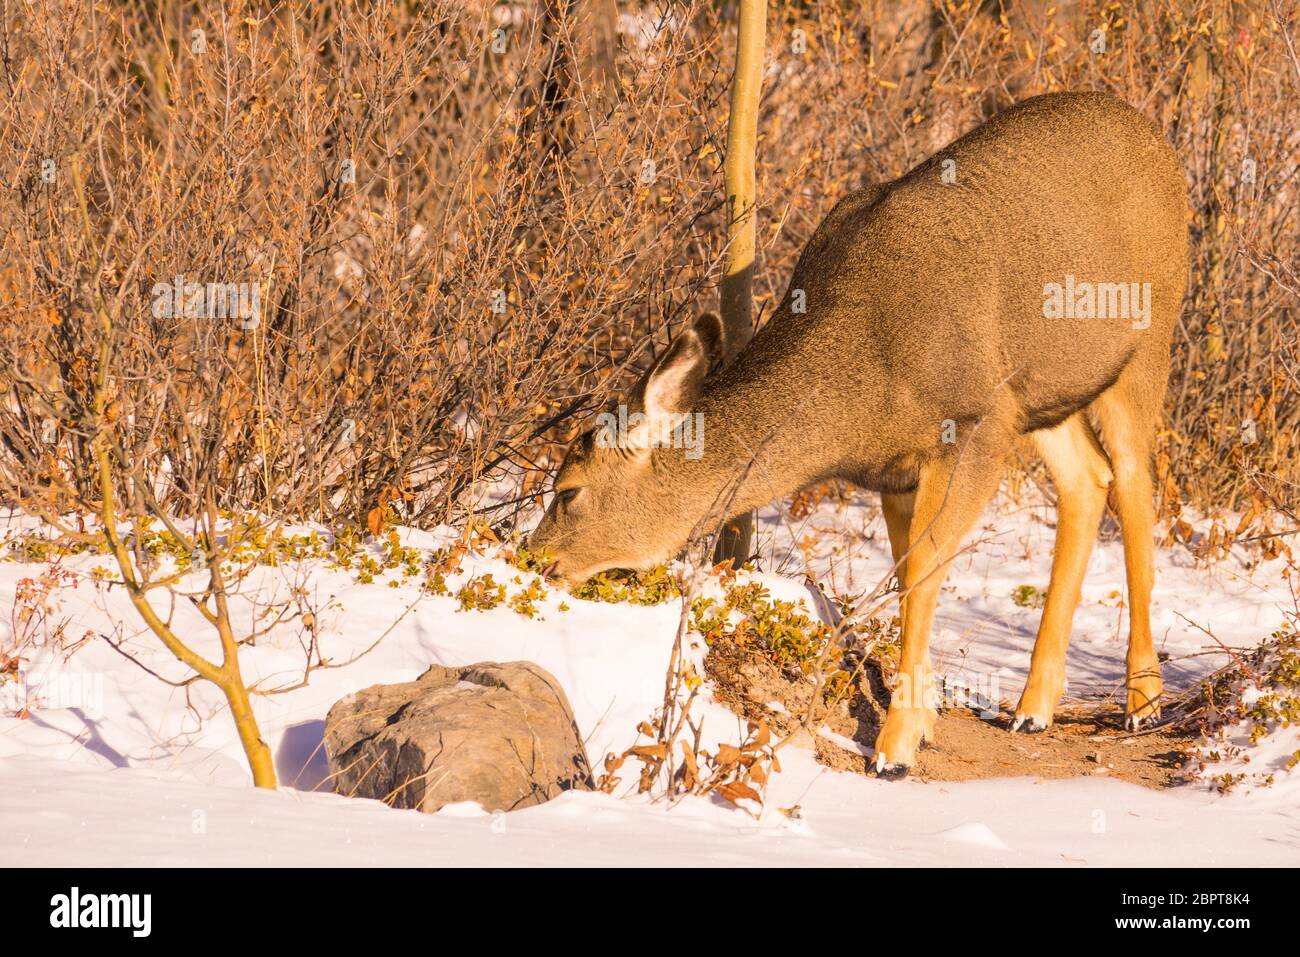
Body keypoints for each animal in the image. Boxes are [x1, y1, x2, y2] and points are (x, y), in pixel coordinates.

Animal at [529, 92, 1189, 775]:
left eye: (568, 490)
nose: (534, 559)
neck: (859, 389)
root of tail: (1151, 134)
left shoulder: (973, 424)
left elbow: (923, 572)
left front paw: (894, 747)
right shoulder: (898, 470)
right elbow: (905, 576)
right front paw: (921, 720)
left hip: (1147, 342)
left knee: (1134, 482)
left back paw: (1143, 701)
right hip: (1046, 397)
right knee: (1087, 479)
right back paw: (1034, 708)